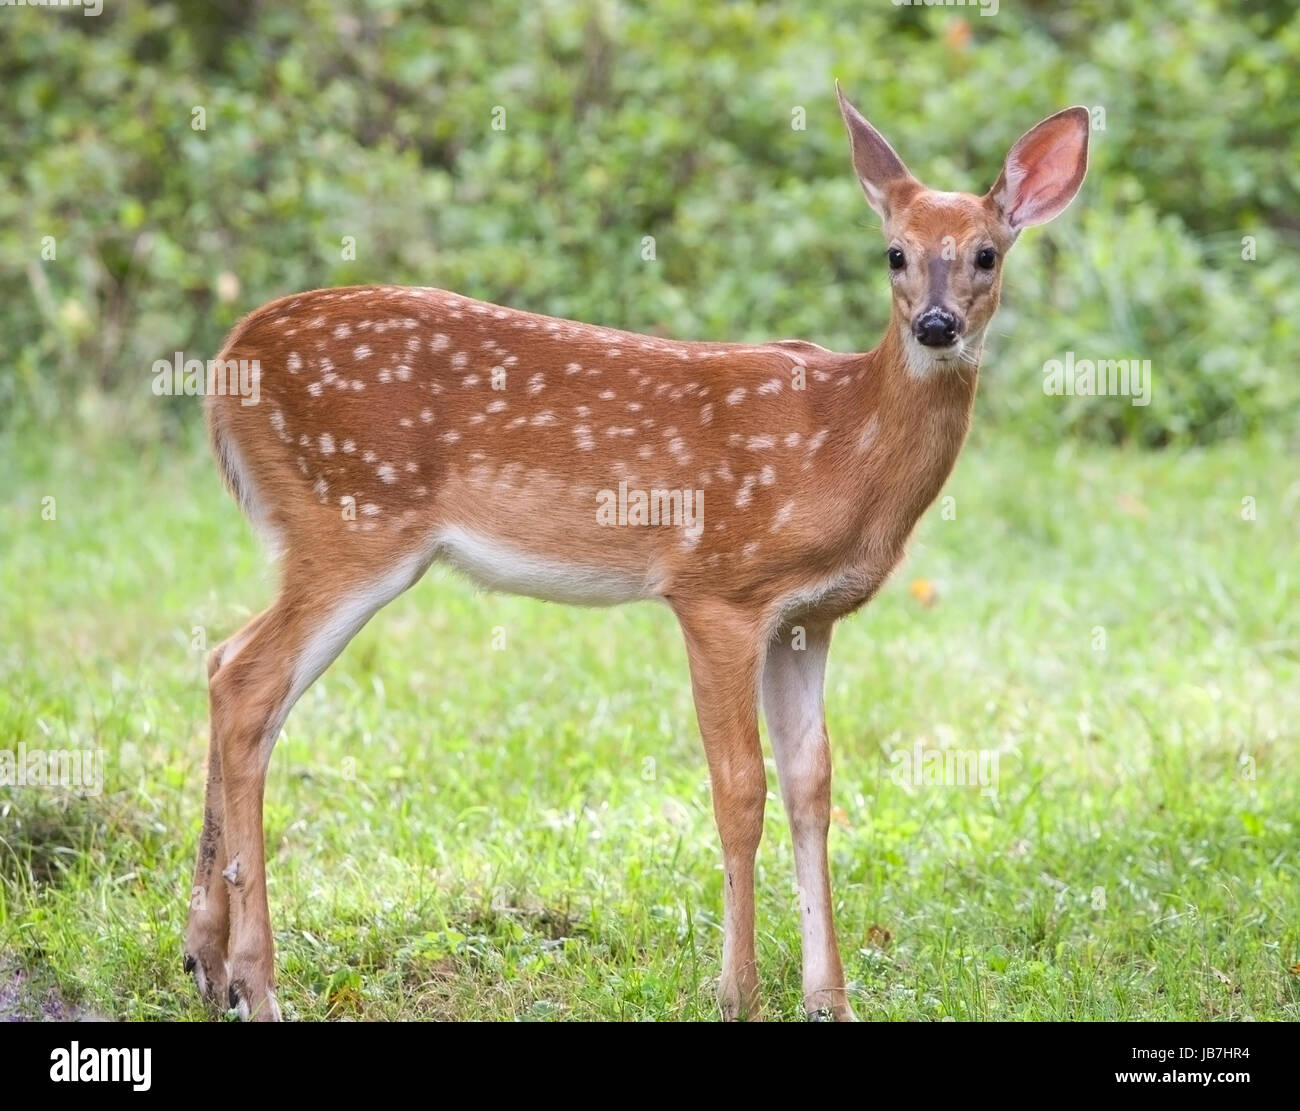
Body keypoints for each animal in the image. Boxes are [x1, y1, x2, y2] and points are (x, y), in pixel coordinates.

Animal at [184, 84, 1088, 1021]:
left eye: (986, 254)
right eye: (894, 254)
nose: (938, 325)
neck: (842, 446)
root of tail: (228, 361)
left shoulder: (809, 617)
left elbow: (813, 787)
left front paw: (829, 999)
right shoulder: (718, 587)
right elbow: (741, 789)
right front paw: (738, 992)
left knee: (225, 664)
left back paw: (207, 962)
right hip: (353, 521)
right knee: (247, 681)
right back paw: (258, 981)